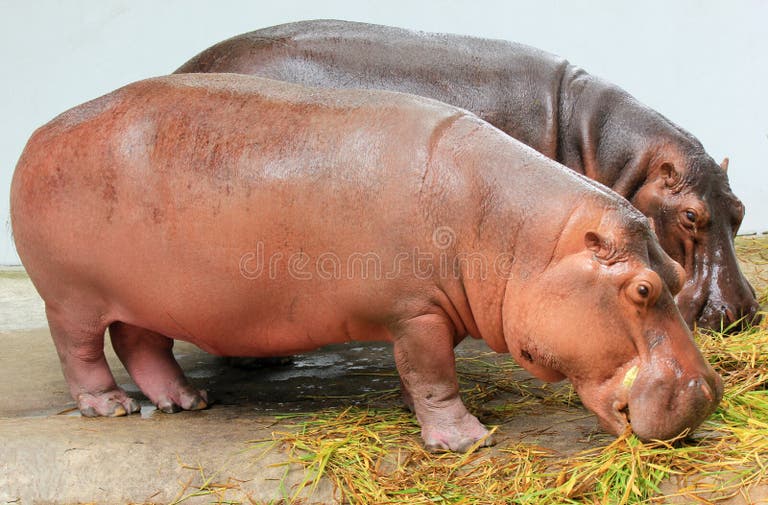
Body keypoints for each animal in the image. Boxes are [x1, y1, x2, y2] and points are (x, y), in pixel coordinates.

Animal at [11, 74, 721, 451]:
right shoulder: (416, 312)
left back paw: (189, 401)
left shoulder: (428, 311)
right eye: (642, 289)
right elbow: (434, 377)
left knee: (141, 343)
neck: (521, 239)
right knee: (80, 352)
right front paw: (468, 440)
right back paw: (111, 409)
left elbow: (423, 376)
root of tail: (38, 133)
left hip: (148, 296)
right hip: (72, 297)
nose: (709, 395)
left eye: (676, 274)